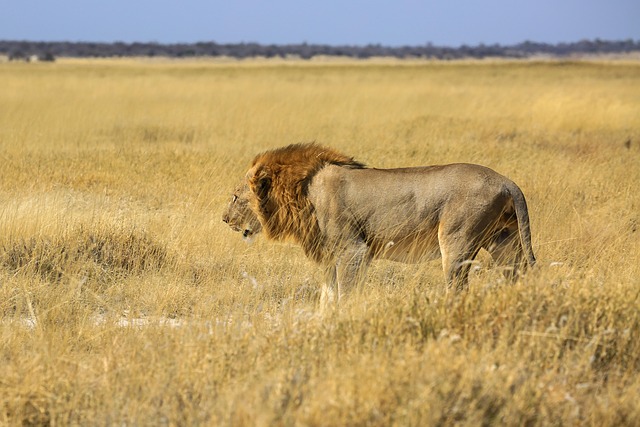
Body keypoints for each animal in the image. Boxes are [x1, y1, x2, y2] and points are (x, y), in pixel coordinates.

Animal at [223, 143, 536, 302]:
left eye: (236, 196)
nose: (224, 219)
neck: (303, 192)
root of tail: (507, 182)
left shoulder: (353, 251)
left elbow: (344, 294)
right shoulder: (332, 256)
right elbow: (327, 296)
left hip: (457, 241)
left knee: (457, 287)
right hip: (504, 241)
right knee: (516, 273)